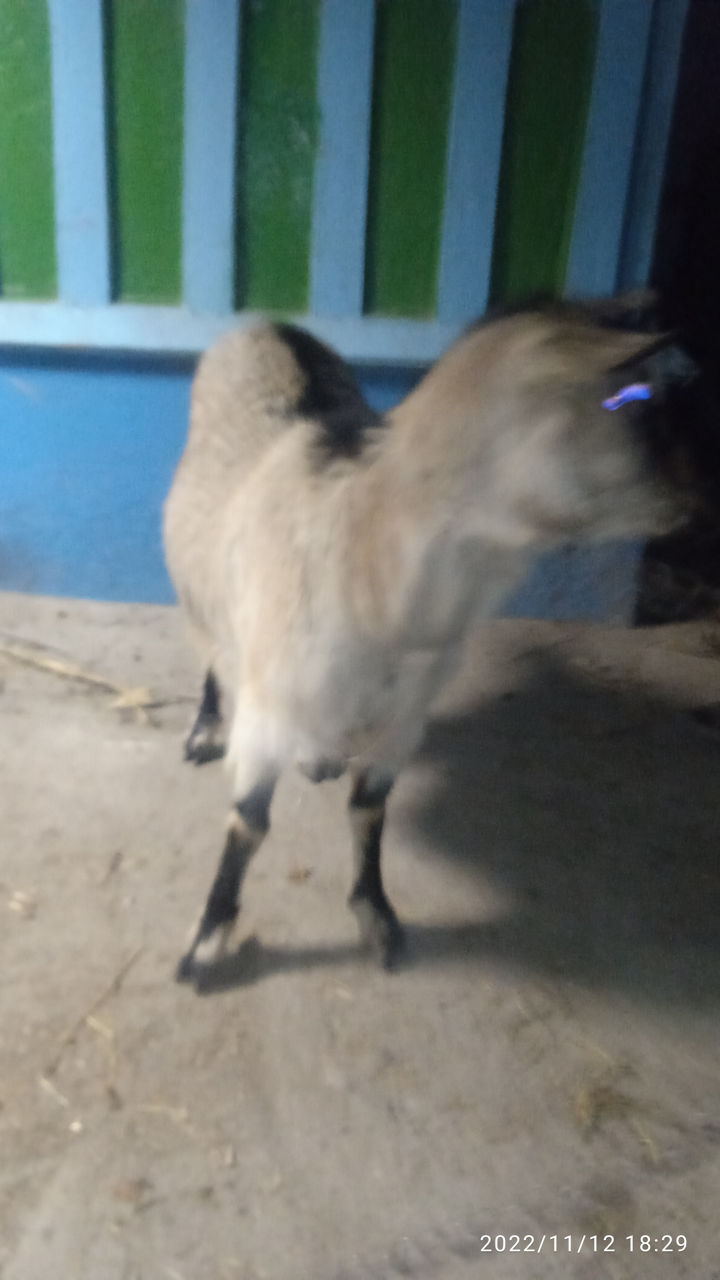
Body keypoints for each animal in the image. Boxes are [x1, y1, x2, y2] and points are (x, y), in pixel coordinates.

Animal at [164, 305, 691, 984]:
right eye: (632, 400)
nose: (691, 502)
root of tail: (270, 323)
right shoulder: (269, 707)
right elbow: (248, 826)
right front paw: (204, 945)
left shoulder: (406, 717)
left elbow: (370, 809)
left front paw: (377, 918)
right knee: (209, 643)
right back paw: (205, 729)